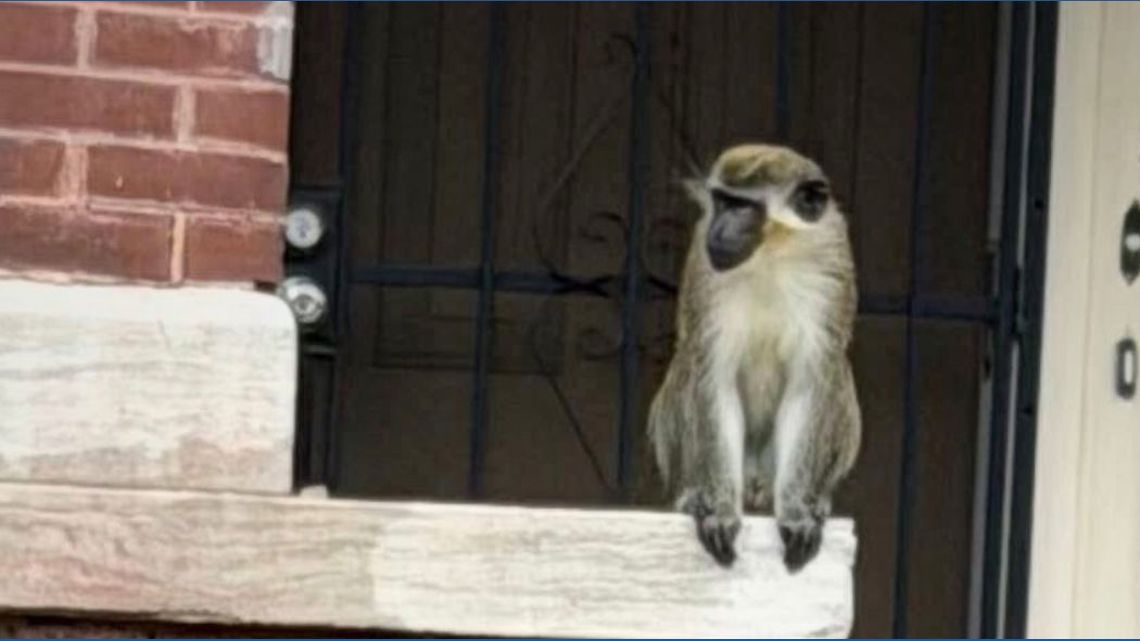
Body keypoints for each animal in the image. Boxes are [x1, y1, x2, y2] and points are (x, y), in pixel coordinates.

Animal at [647, 143, 860, 573]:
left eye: (742, 206)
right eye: (720, 201)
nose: (719, 229)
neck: (771, 253)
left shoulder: (832, 262)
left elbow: (811, 382)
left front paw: (796, 510)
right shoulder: (704, 262)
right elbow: (712, 378)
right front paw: (719, 508)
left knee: (837, 371)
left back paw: (816, 499)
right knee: (688, 364)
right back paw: (695, 493)